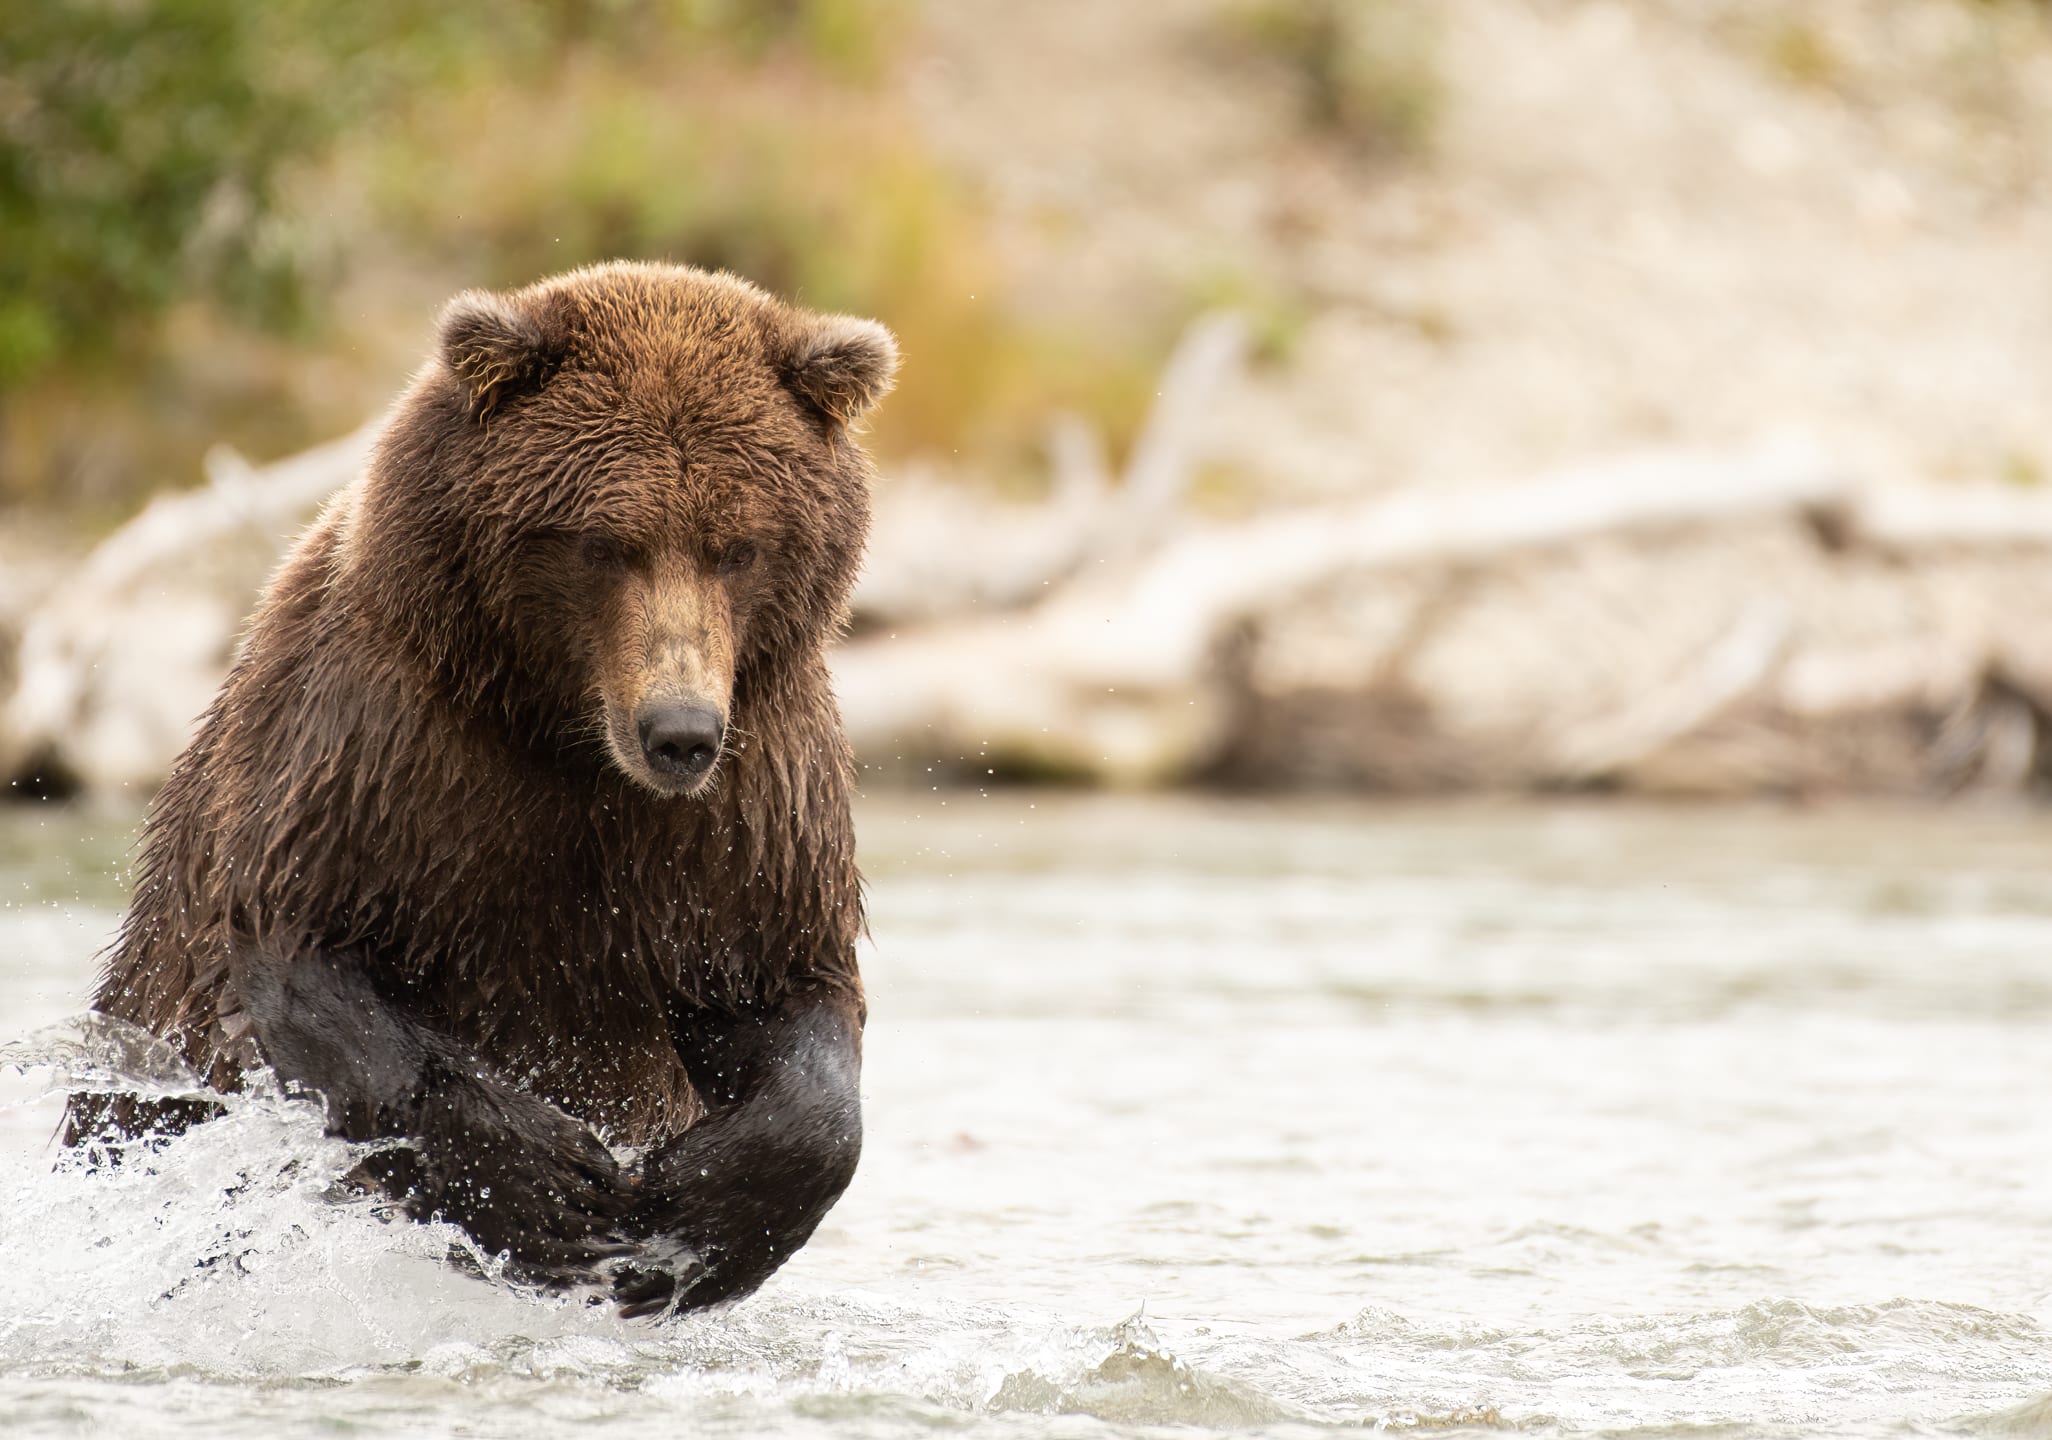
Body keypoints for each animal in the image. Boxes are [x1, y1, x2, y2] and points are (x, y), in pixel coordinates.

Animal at [64, 261, 897, 1317]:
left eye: (739, 544)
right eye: (605, 542)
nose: (679, 732)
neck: (565, 734)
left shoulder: (752, 804)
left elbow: (786, 987)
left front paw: (698, 1215)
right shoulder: (376, 753)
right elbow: (307, 951)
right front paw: (547, 1186)